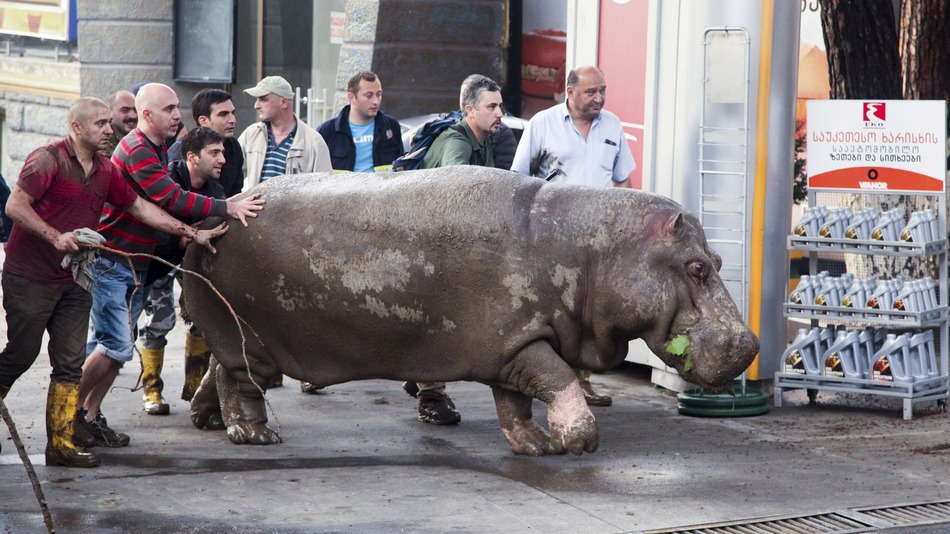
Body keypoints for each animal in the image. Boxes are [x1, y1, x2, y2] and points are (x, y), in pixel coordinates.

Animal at [181, 168, 758, 455]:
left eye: (719, 261)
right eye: (696, 268)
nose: (750, 343)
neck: (593, 249)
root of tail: (213, 216)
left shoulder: (514, 345)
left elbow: (518, 401)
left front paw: (537, 446)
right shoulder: (522, 341)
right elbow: (558, 379)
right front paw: (580, 442)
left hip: (244, 339)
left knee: (217, 371)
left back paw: (206, 421)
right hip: (246, 338)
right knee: (238, 382)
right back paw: (253, 436)